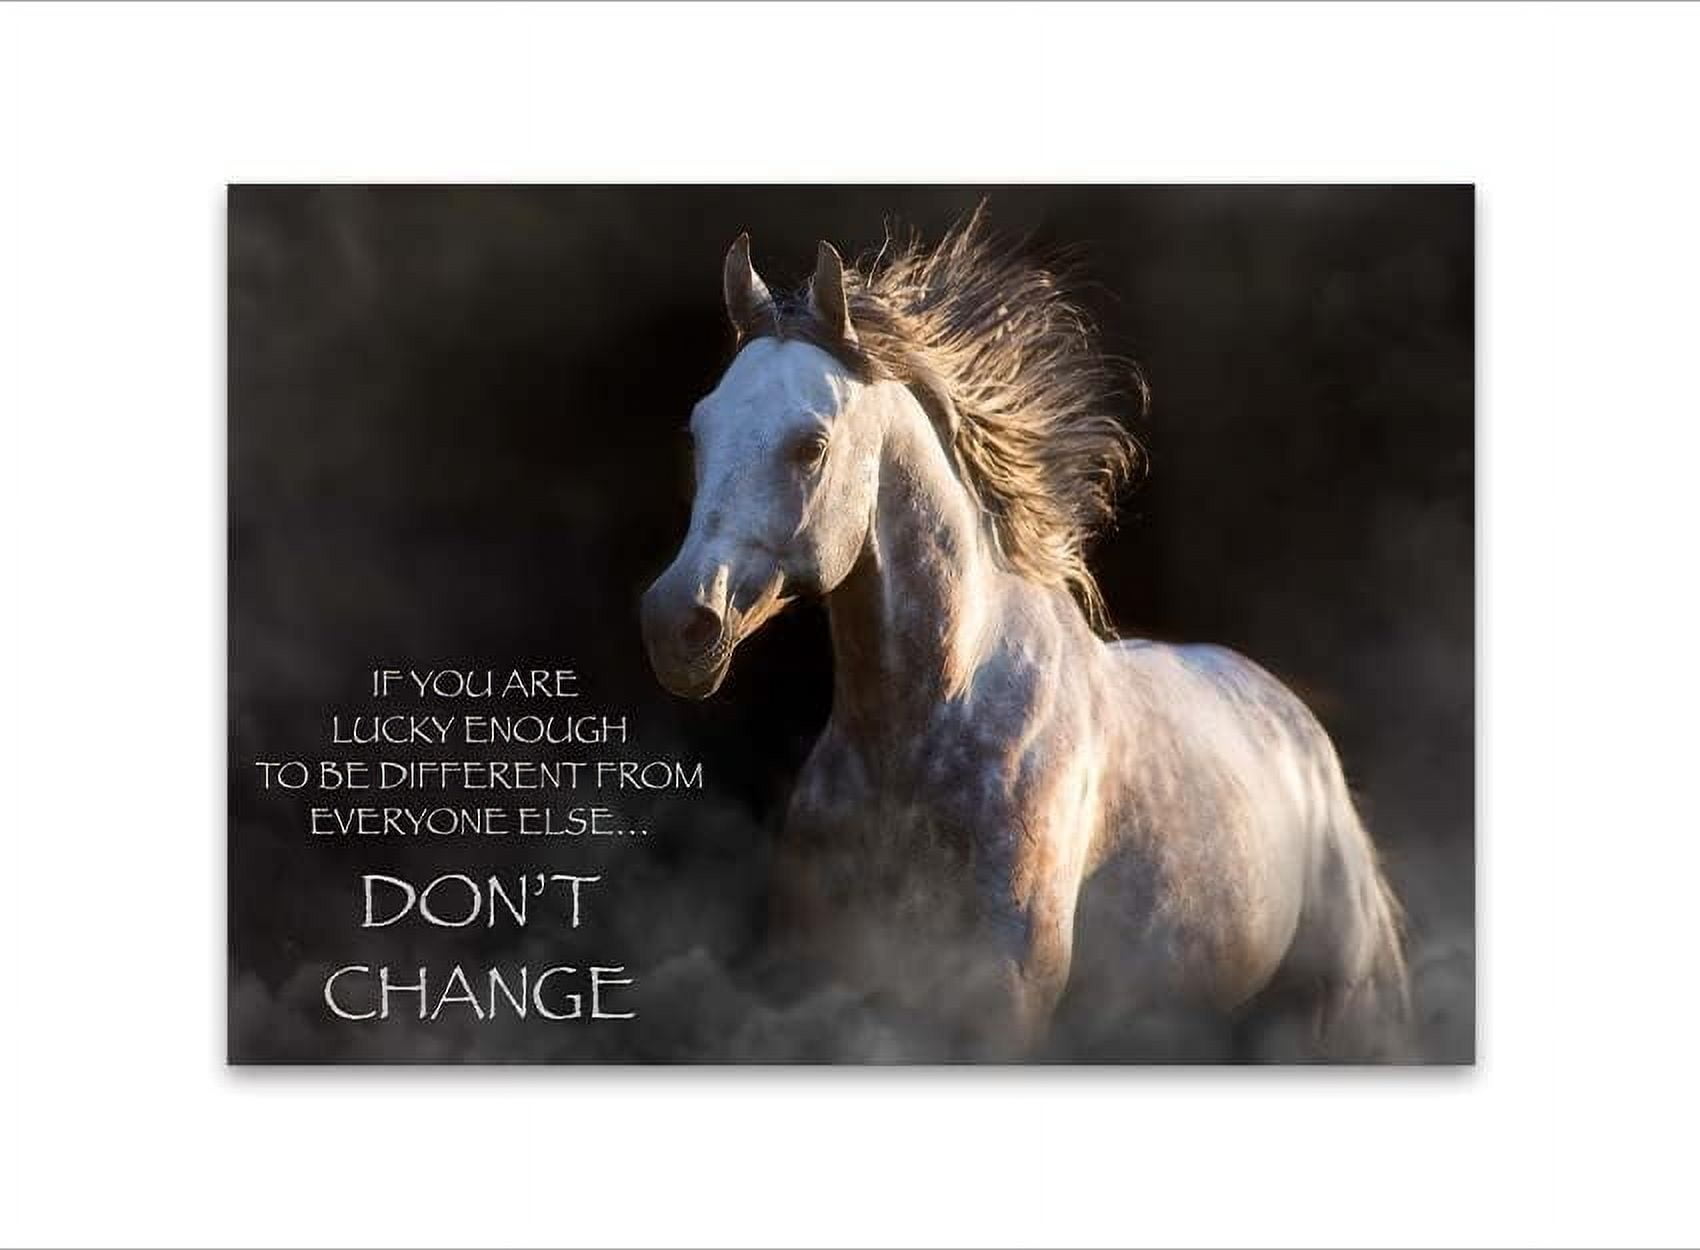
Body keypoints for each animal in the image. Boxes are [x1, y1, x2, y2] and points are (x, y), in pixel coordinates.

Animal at [640, 213, 1410, 1061]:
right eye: (700, 430)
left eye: (810, 444)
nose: (676, 623)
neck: (919, 740)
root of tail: (1307, 743)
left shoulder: (1002, 998)